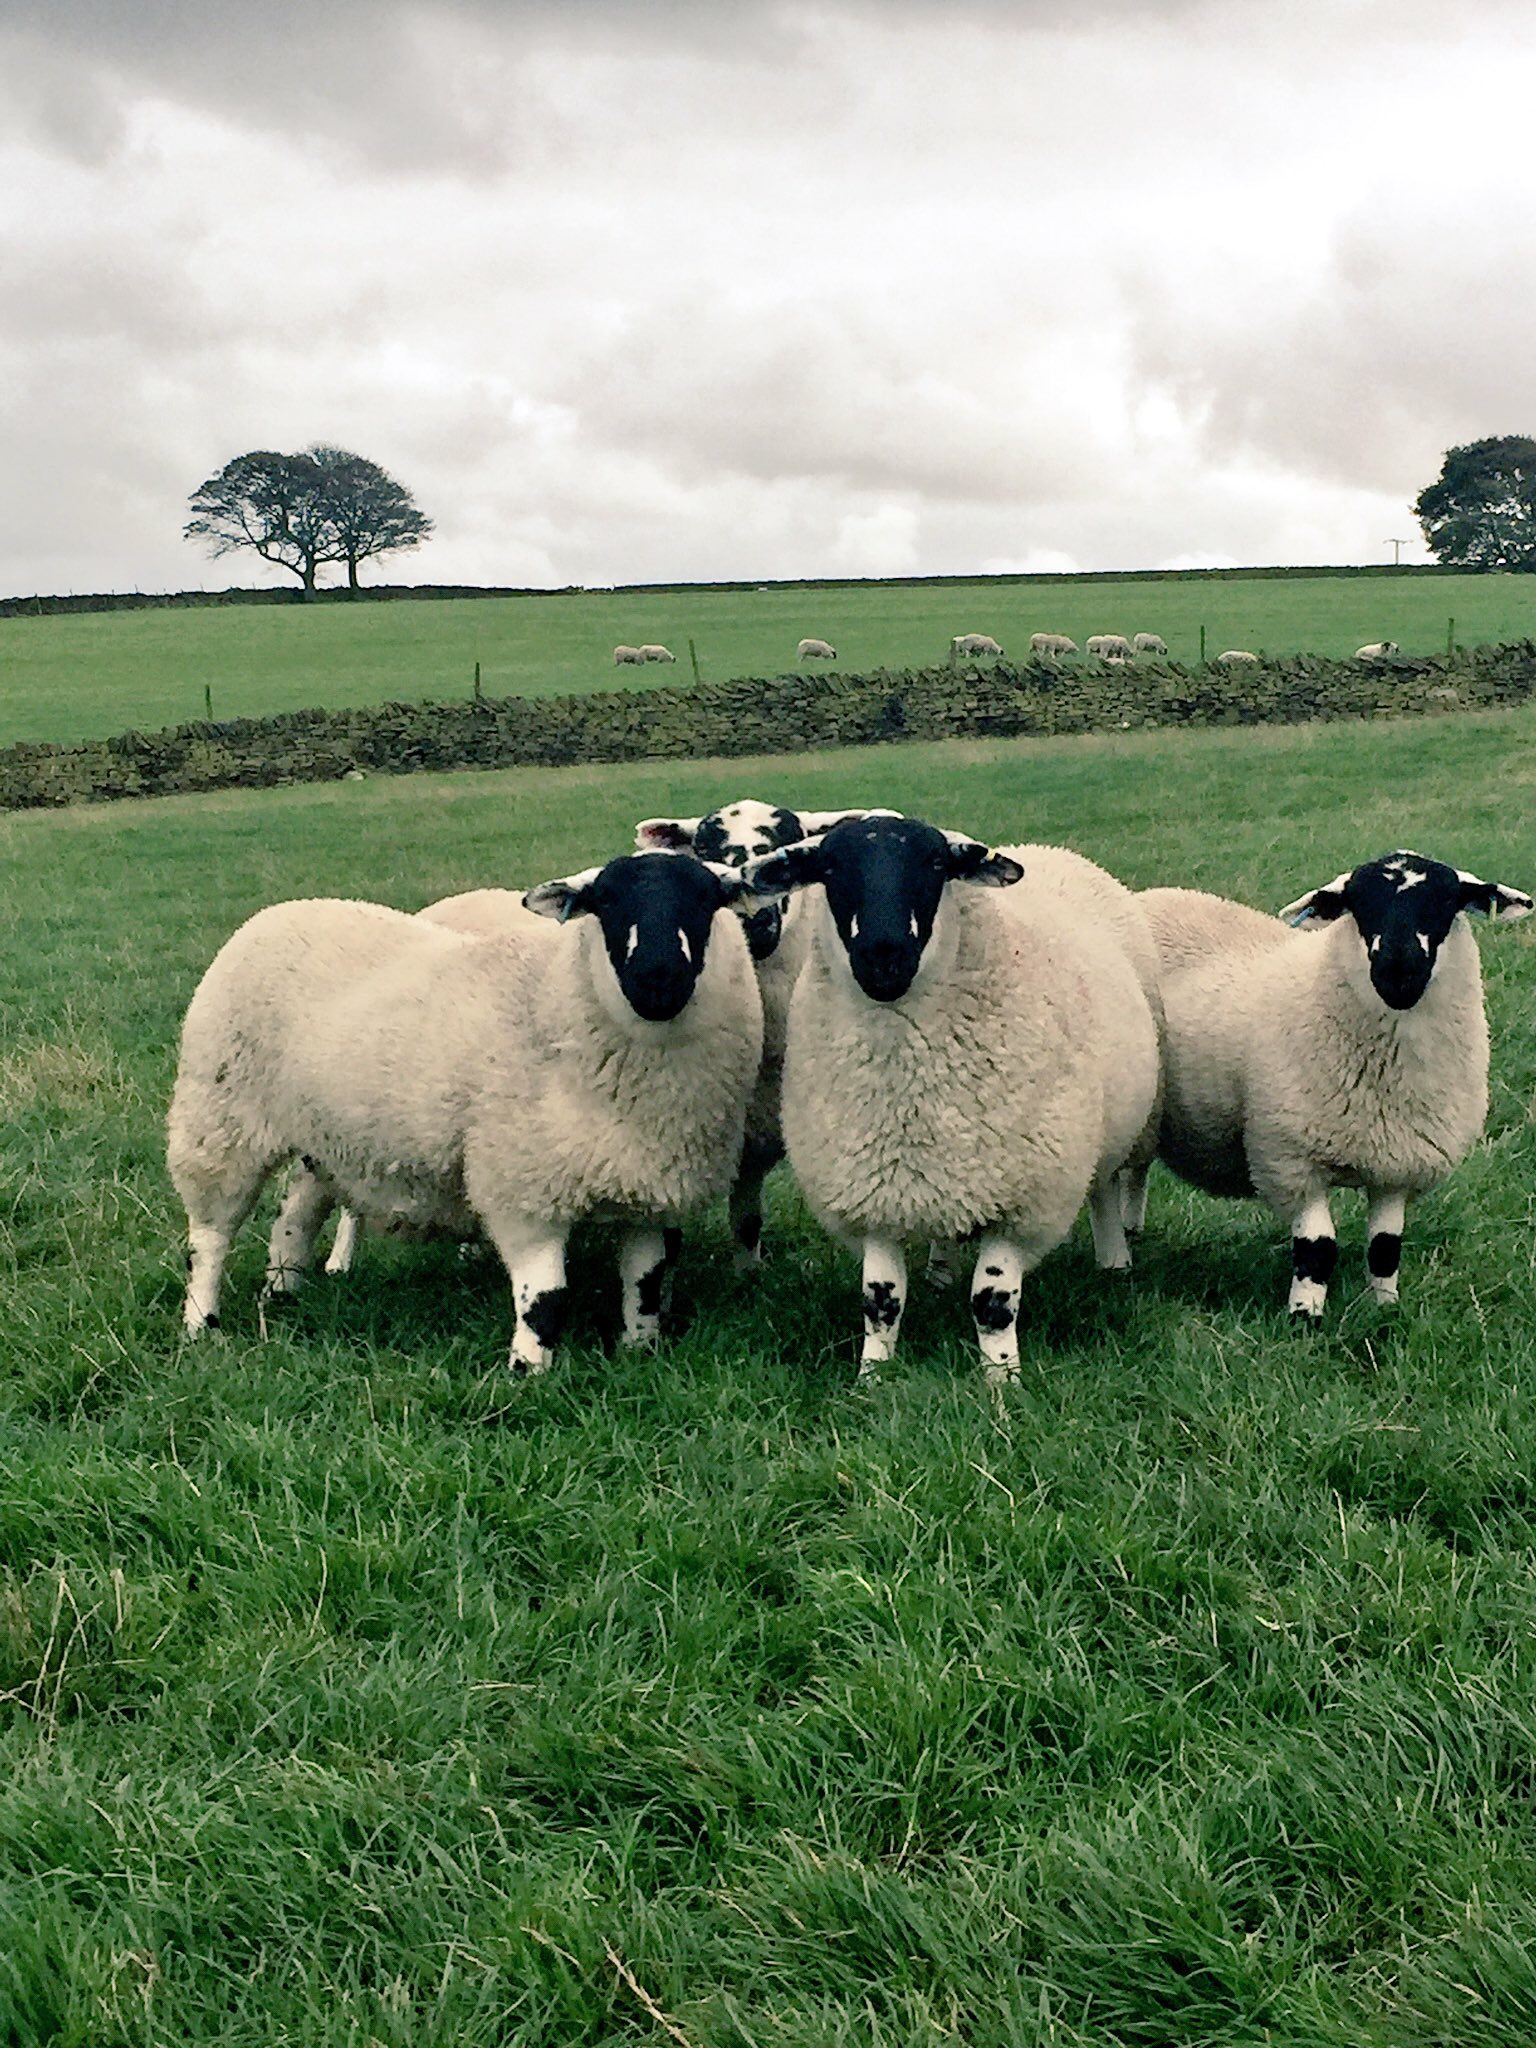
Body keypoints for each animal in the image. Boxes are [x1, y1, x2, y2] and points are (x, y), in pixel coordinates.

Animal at [167, 852, 764, 1372]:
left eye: (707, 900)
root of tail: (283, 910)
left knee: (295, 1213)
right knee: (210, 1237)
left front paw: (642, 1351)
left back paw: (283, 1291)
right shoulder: (521, 1182)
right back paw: (201, 1324)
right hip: (220, 1117)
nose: (657, 977)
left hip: (322, 1135)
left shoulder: (650, 1190)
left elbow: (645, 1284)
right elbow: (546, 1297)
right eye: (606, 901)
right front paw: (528, 1371)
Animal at [741, 816, 1161, 1380]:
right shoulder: (873, 1189)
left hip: (1105, 1134)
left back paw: (1114, 1259)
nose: (884, 955)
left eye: (936, 864)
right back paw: (940, 1271)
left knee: (1103, 1190)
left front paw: (1002, 1377)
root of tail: (1047, 851)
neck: (911, 1090)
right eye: (829, 867)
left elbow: (993, 1301)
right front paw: (873, 1375)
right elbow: (880, 1299)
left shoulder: (1022, 1199)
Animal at [1135, 852, 1532, 1317]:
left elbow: (1385, 1247)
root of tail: (1147, 895)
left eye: (1445, 902)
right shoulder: (1291, 1159)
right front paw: (1304, 1317)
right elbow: (1317, 1251)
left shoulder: (1398, 1165)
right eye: (1358, 904)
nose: (1398, 970)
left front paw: (1384, 1309)